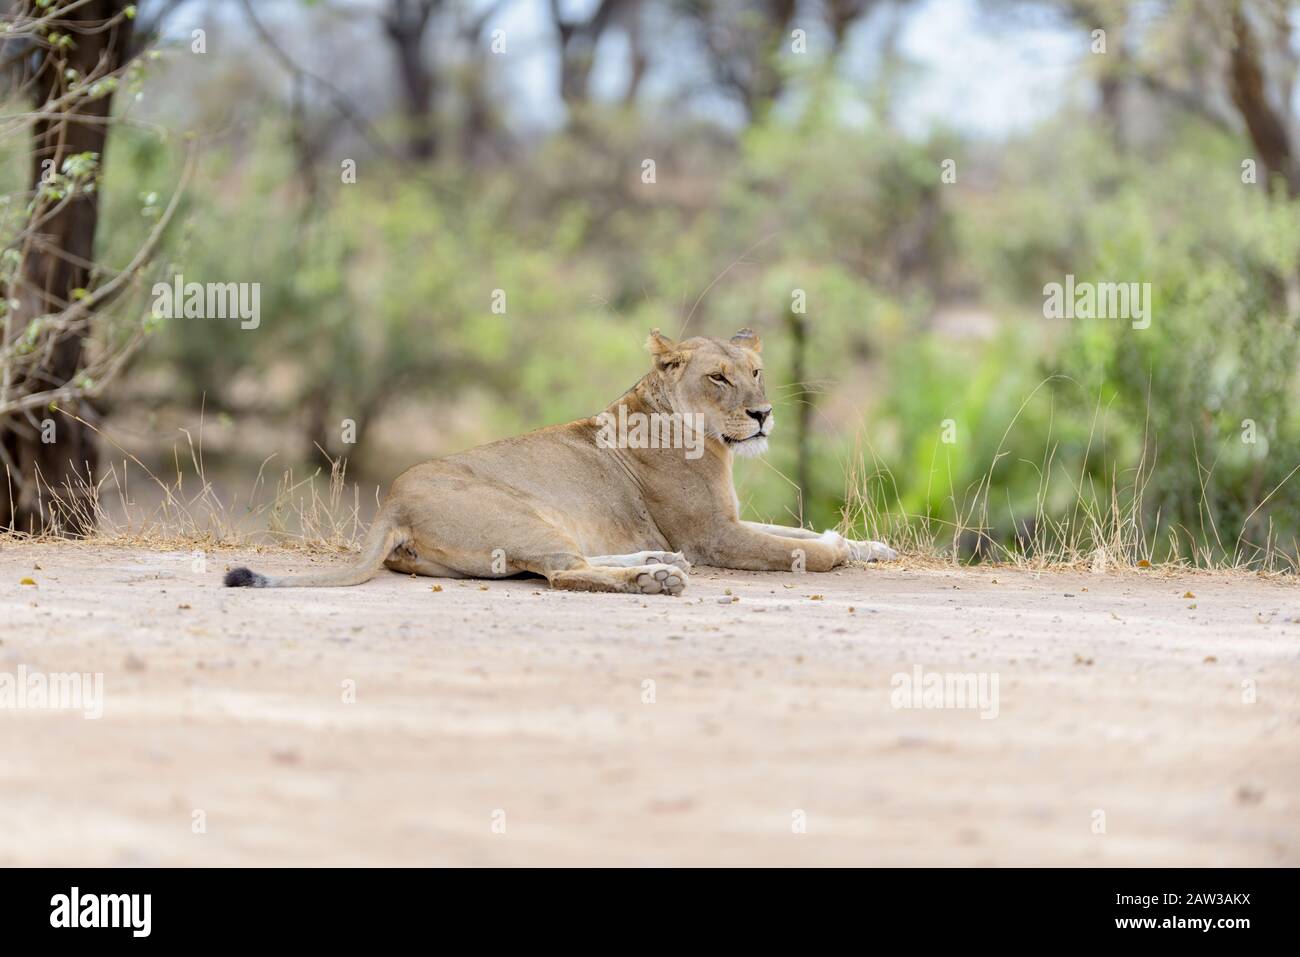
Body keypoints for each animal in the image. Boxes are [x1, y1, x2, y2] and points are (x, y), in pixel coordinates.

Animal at [224, 328, 897, 596]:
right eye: (718, 378)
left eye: (756, 372)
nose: (762, 414)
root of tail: (390, 502)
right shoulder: (713, 536)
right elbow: (801, 550)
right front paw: (839, 553)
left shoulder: (728, 522)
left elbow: (799, 530)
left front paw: (867, 545)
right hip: (523, 512)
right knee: (563, 574)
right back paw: (656, 579)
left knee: (568, 563)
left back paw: (652, 562)